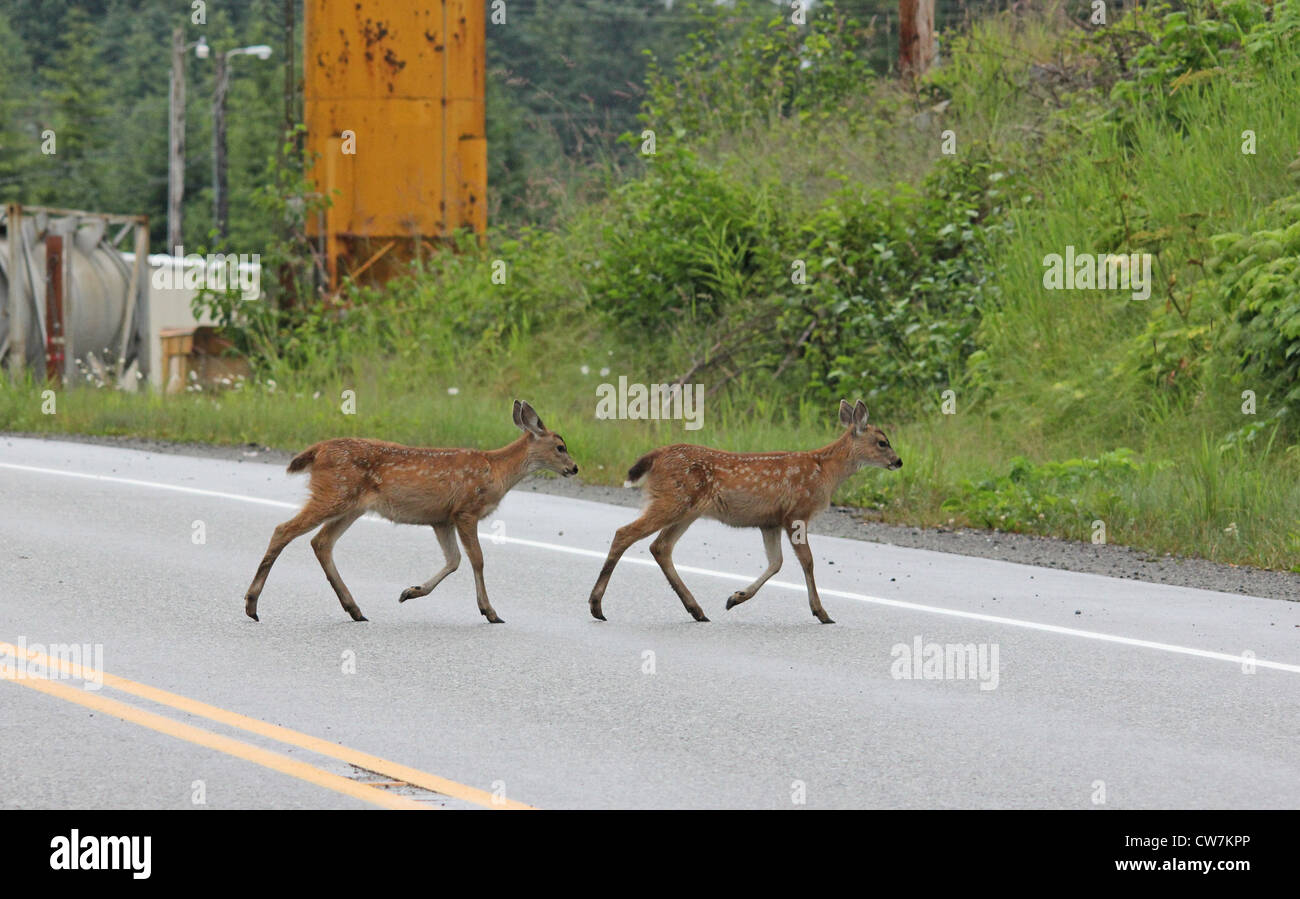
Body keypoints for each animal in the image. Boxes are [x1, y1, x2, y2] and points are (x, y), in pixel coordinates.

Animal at [243, 400, 578, 624]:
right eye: (560, 446)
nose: (574, 468)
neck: (496, 471)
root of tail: (317, 450)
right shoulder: (465, 510)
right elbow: (477, 560)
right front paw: (490, 612)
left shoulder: (441, 519)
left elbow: (454, 560)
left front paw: (411, 591)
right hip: (334, 493)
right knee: (284, 530)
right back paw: (252, 605)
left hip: (351, 505)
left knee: (321, 542)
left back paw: (355, 609)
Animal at [587, 399, 901, 625]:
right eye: (882, 441)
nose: (898, 461)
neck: (825, 471)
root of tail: (655, 455)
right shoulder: (796, 513)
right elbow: (808, 562)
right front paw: (822, 613)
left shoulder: (770, 522)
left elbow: (776, 563)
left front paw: (735, 598)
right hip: (673, 500)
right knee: (625, 533)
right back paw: (597, 606)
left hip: (686, 509)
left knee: (660, 546)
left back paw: (697, 610)